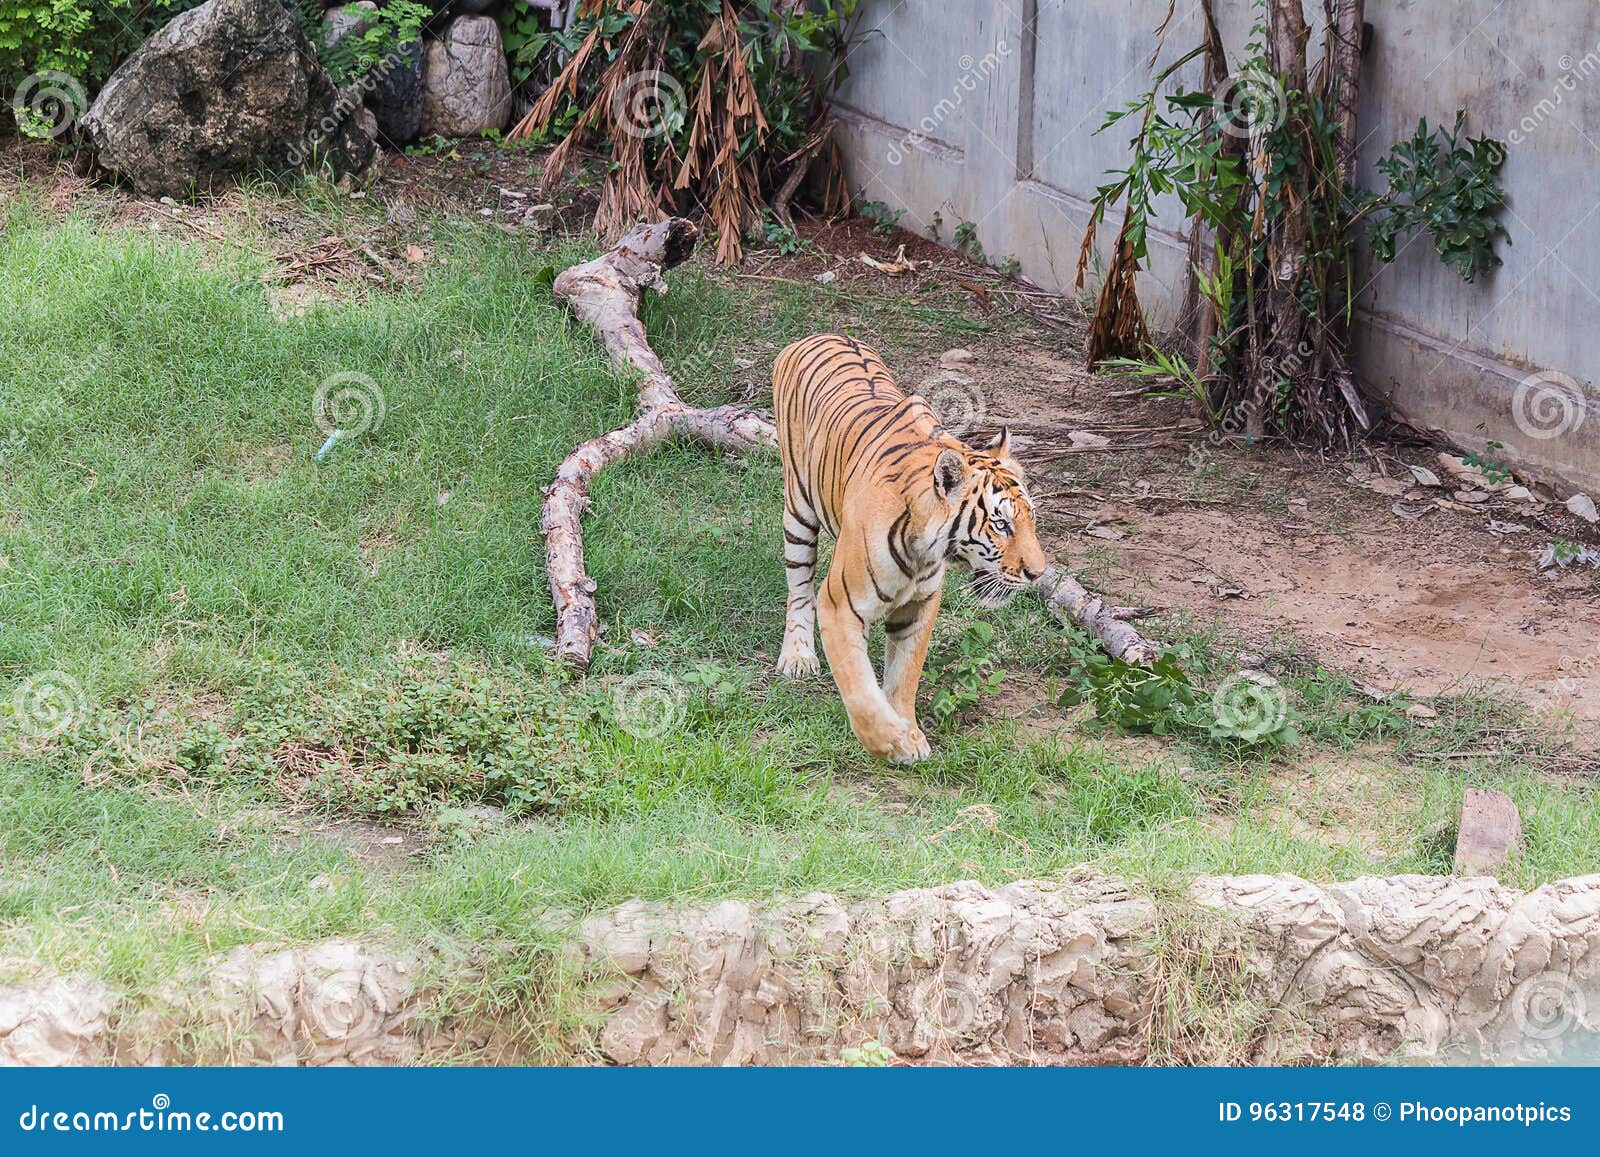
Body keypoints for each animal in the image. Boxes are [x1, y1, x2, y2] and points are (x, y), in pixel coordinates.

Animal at [772, 333, 1048, 764]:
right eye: (1001, 524)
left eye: (1030, 520)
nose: (1039, 574)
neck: (923, 551)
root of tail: (820, 334)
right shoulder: (839, 604)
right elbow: (860, 689)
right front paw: (892, 742)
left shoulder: (920, 606)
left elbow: (904, 676)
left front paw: (909, 732)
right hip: (798, 513)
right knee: (799, 590)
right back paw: (798, 657)